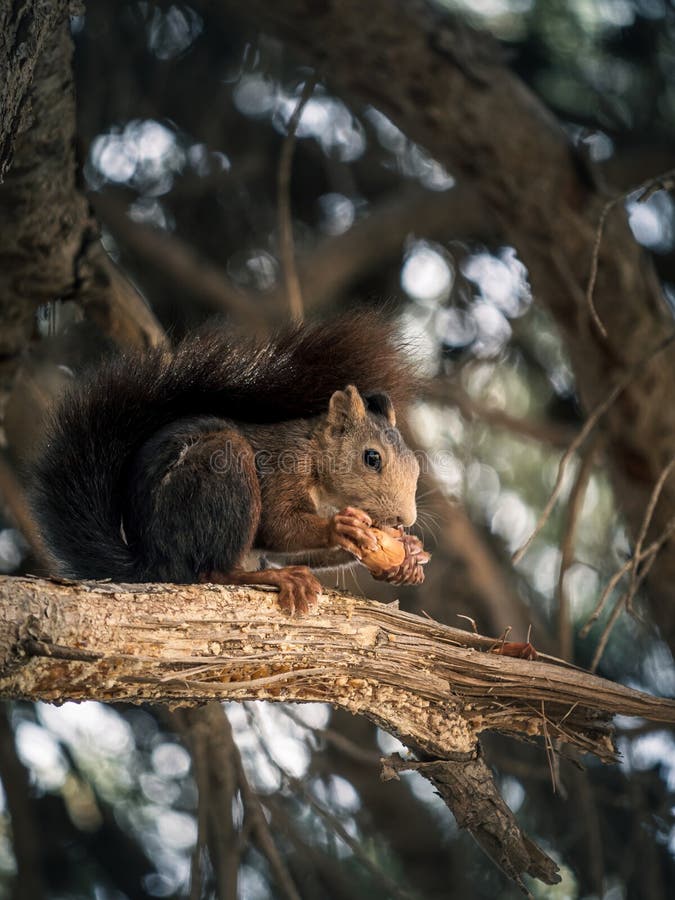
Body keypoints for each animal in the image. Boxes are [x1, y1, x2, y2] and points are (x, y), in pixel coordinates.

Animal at [31, 313, 429, 614]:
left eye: (416, 467)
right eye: (372, 458)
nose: (403, 519)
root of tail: (153, 561)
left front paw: (409, 553)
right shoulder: (282, 470)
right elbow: (276, 525)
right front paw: (341, 528)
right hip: (221, 472)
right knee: (212, 572)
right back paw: (275, 577)